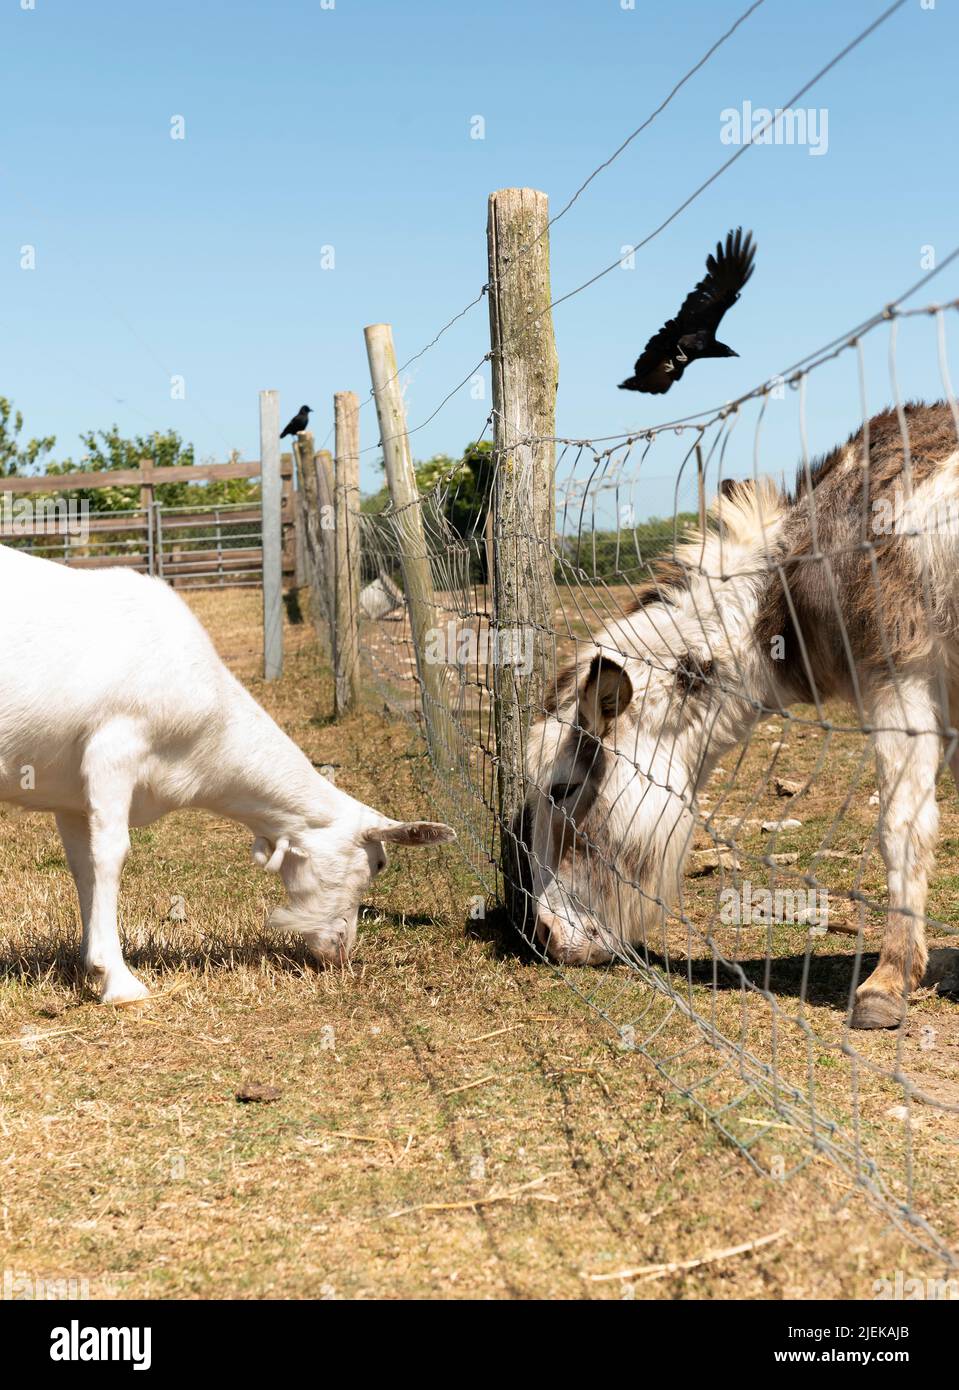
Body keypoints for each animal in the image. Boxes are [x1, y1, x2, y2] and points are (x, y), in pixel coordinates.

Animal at [0, 544, 453, 1003]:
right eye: (377, 864)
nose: (341, 952)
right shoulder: (114, 750)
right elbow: (110, 855)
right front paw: (118, 979)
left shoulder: (72, 796)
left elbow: (83, 866)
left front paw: (89, 962)